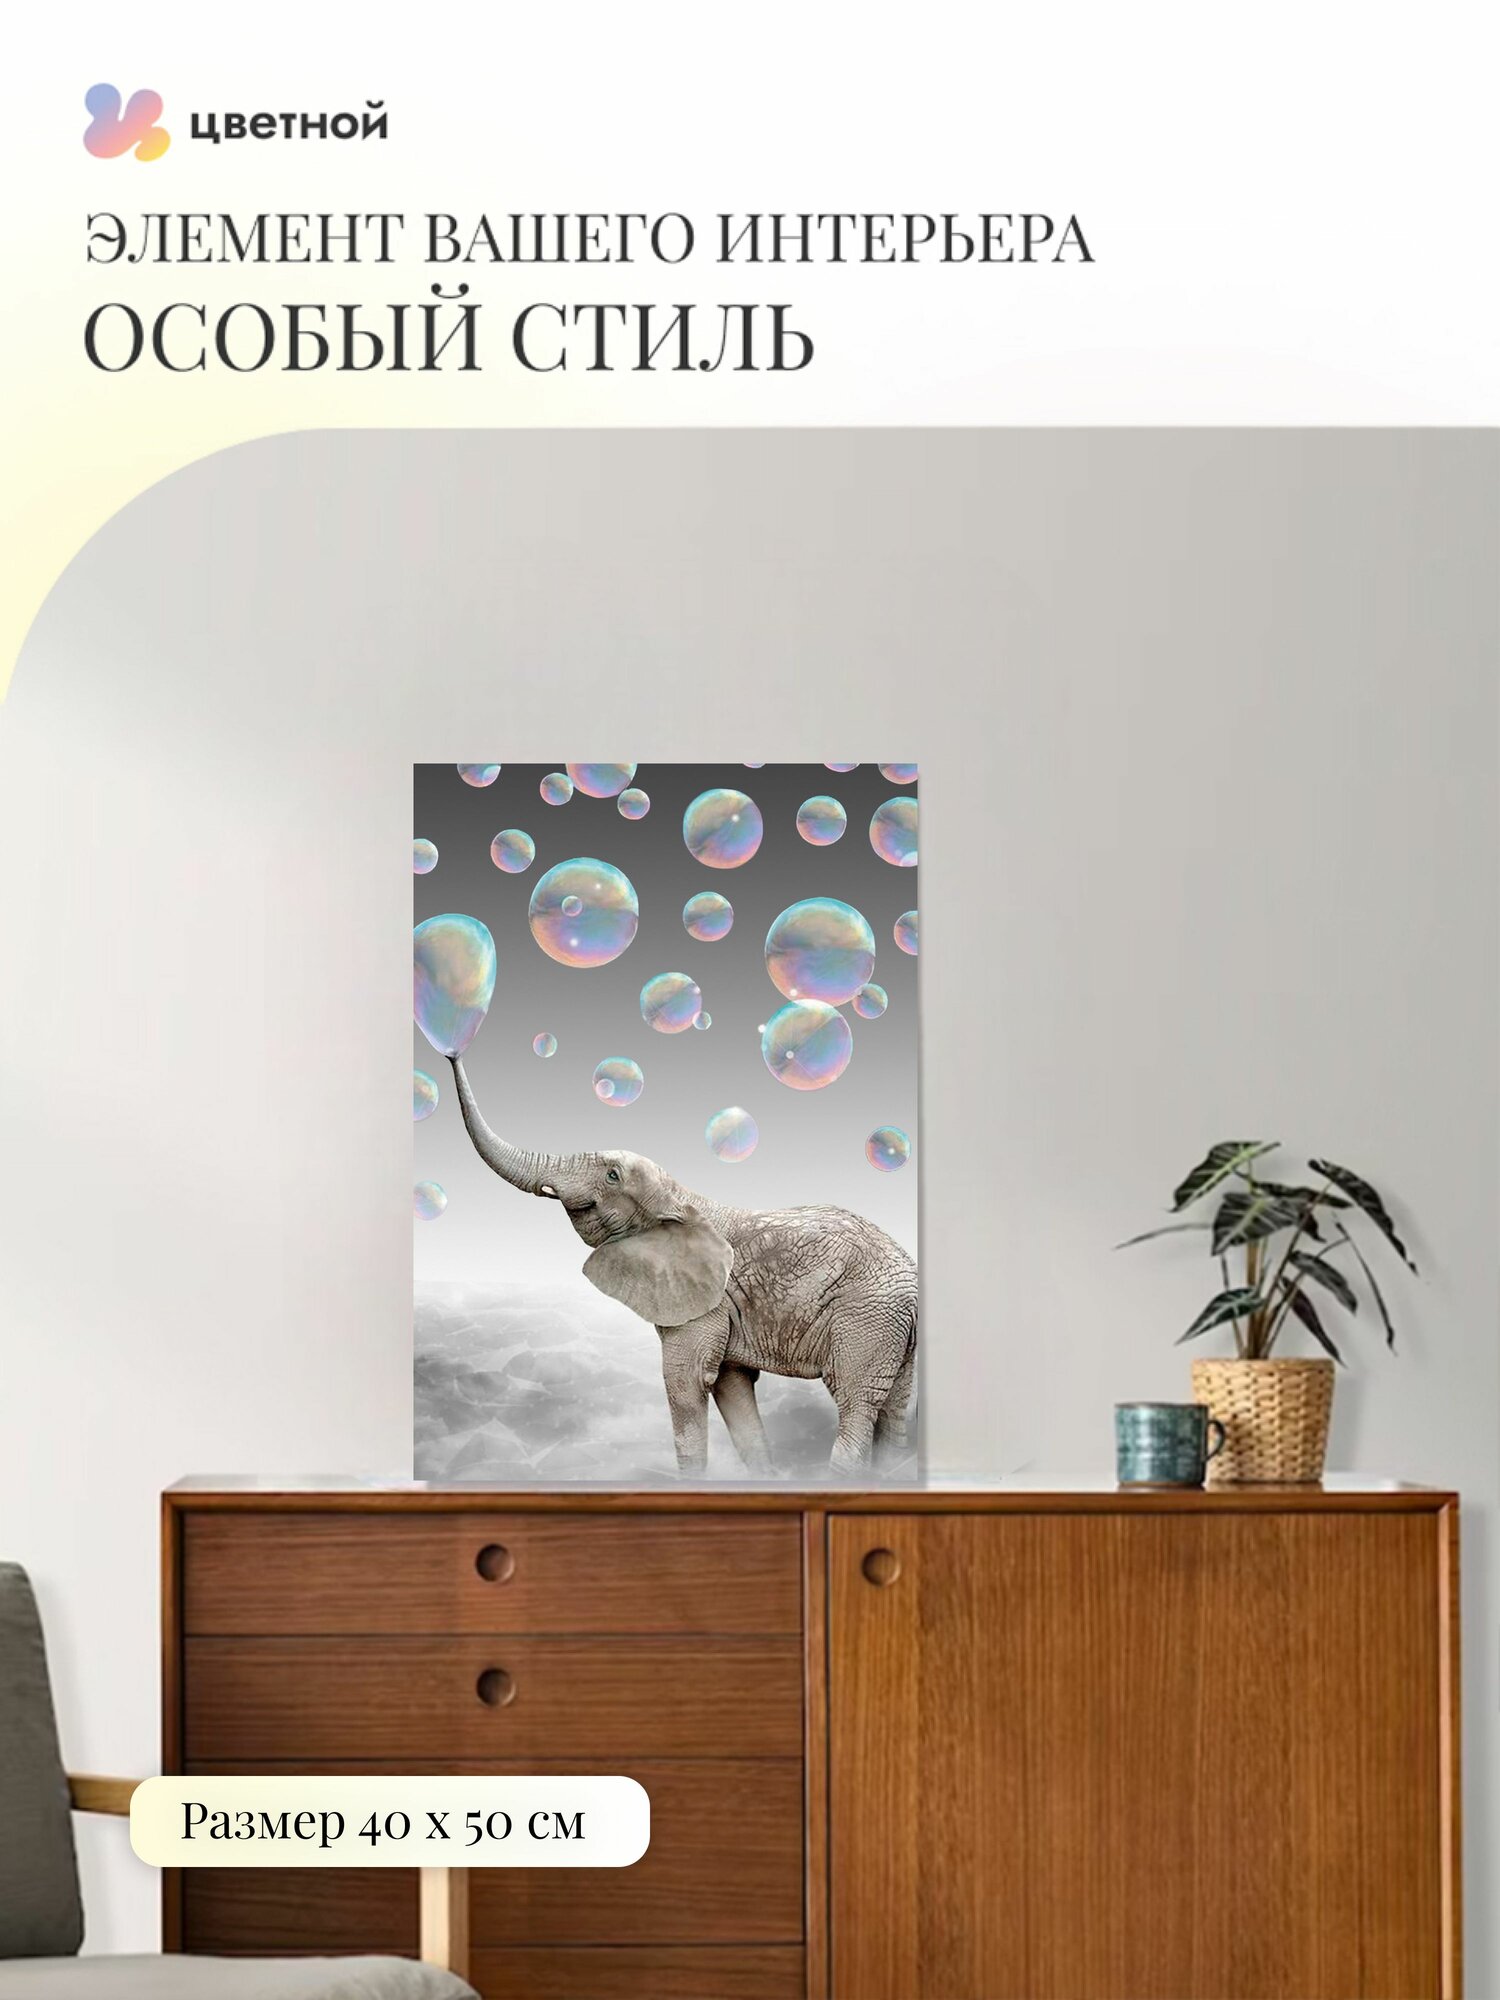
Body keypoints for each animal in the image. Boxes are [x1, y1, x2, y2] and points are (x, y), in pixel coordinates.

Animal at [449, 1056, 917, 1476]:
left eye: (613, 1175)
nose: (451, 1053)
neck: (680, 1198)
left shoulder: (704, 1304)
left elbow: (686, 1385)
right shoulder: (726, 1307)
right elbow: (732, 1389)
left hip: (866, 1320)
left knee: (855, 1404)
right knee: (893, 1411)